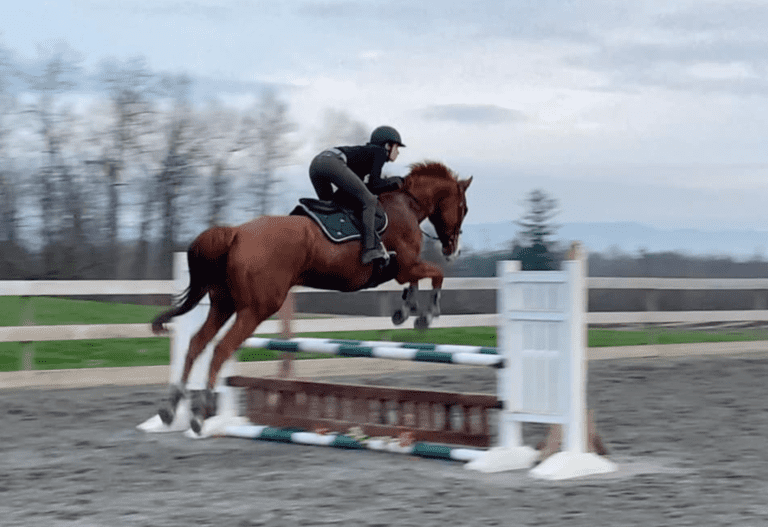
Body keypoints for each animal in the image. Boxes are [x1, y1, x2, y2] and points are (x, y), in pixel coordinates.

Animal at [151, 161, 472, 433]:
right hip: (256, 309)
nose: (453, 250)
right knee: (220, 349)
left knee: (196, 344)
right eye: (463, 207)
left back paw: (171, 408)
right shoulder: (405, 267)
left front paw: (406, 310)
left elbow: (419, 281)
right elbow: (436, 274)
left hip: (223, 305)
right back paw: (199, 413)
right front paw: (427, 315)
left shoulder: (404, 270)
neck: (407, 203)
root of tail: (235, 234)